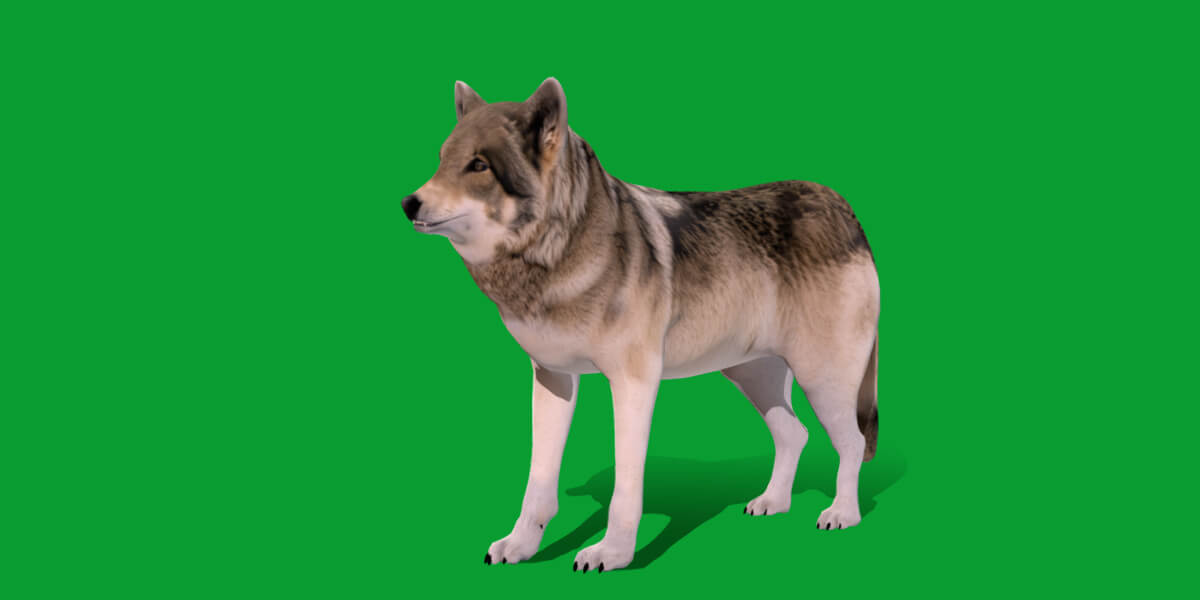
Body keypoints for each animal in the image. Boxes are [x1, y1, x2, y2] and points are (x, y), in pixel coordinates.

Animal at [402, 78, 880, 573]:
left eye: (478, 165)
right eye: (442, 160)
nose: (407, 203)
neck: (559, 251)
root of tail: (842, 206)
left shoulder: (633, 383)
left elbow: (625, 488)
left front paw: (611, 554)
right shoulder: (553, 379)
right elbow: (538, 485)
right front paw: (520, 546)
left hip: (822, 380)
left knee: (851, 441)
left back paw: (842, 513)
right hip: (751, 375)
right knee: (795, 434)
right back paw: (773, 502)